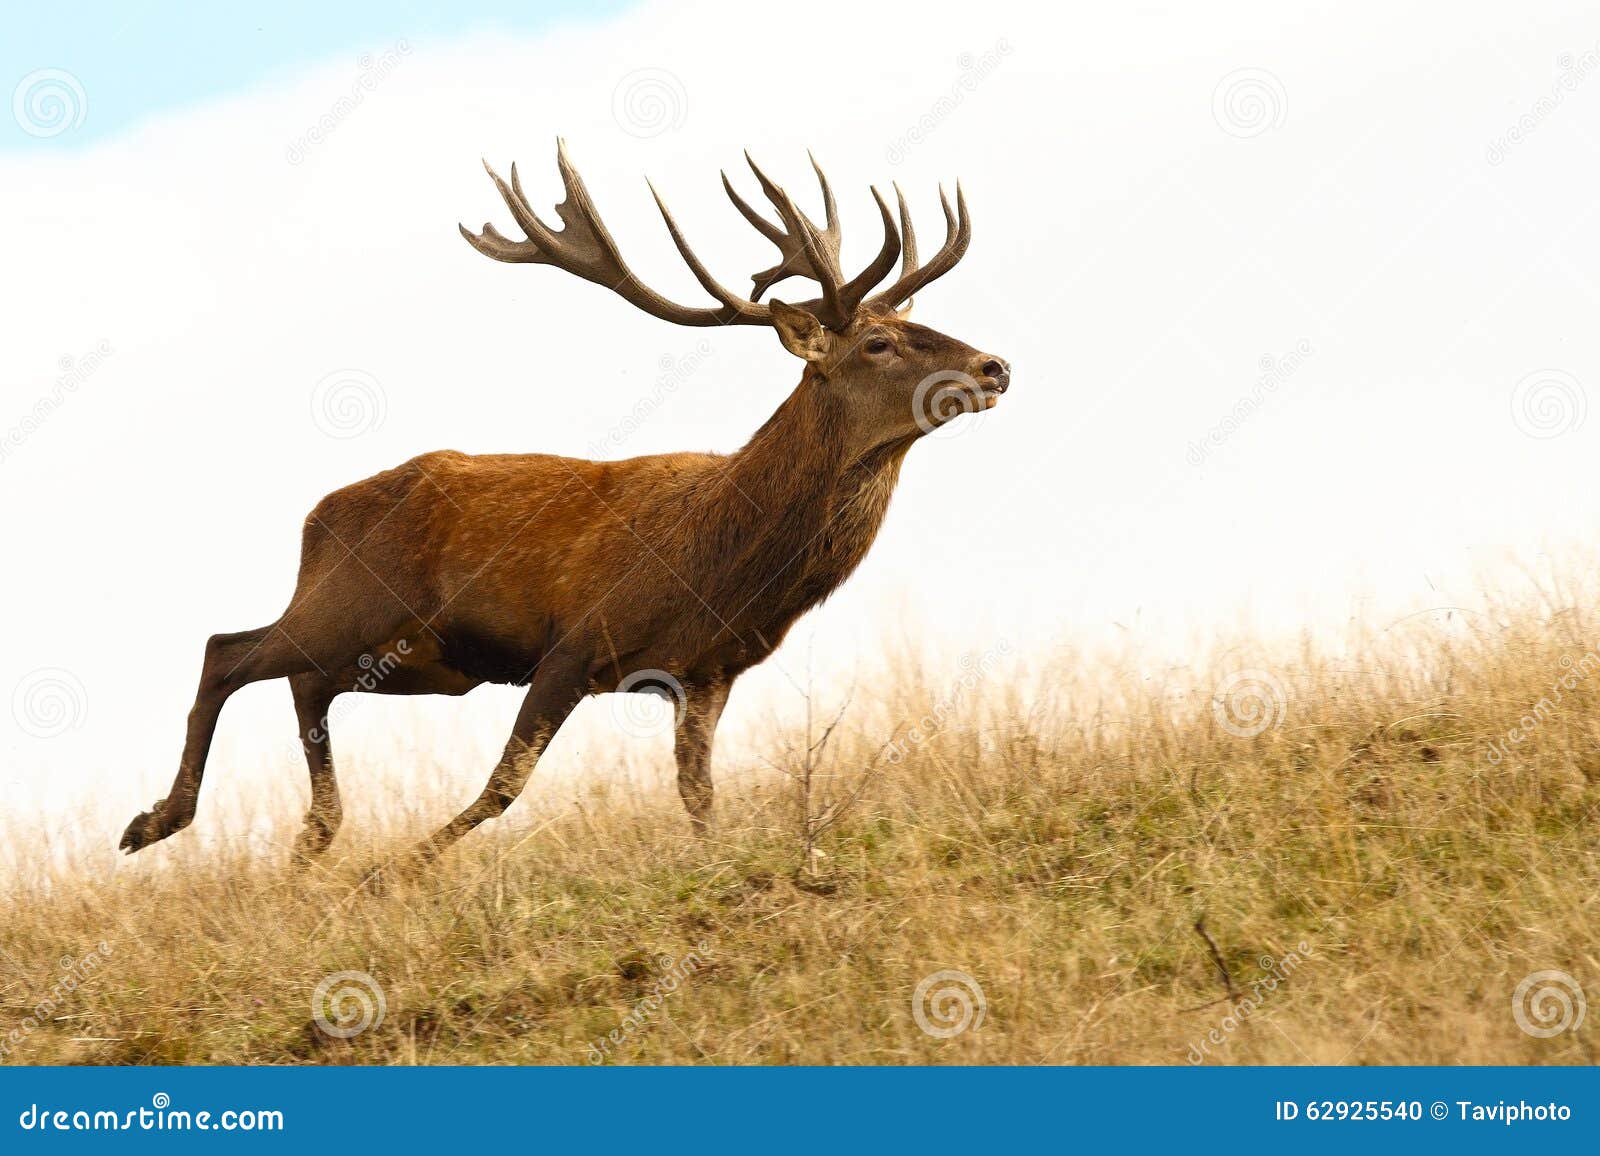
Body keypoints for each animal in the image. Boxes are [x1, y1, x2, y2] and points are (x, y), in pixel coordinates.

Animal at [119, 140, 1010, 867]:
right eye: (879, 343)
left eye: (919, 322)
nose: (995, 365)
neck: (722, 566)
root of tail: (316, 517)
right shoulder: (576, 641)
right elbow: (505, 782)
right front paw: (396, 869)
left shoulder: (709, 670)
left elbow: (698, 794)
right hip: (353, 604)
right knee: (227, 650)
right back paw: (156, 822)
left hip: (415, 656)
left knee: (303, 683)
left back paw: (312, 837)